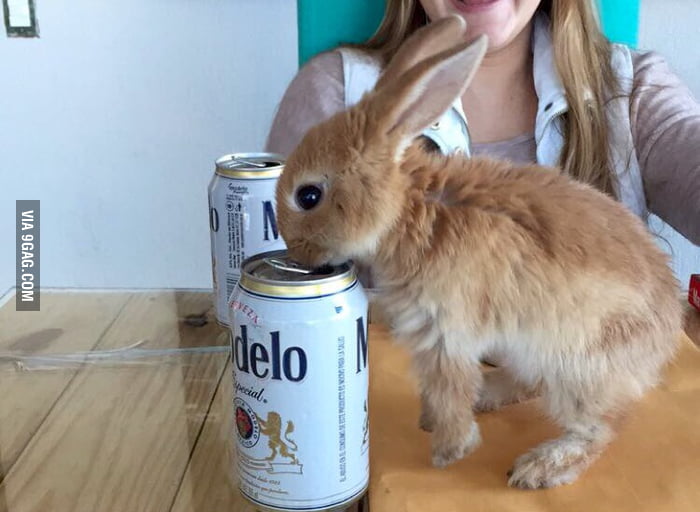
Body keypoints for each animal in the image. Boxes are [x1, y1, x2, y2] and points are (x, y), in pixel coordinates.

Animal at [274, 15, 682, 489]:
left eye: (308, 196)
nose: (297, 255)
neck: (410, 208)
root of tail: (665, 338)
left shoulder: (446, 331)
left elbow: (449, 388)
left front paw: (449, 451)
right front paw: (436, 426)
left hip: (579, 366)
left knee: (599, 429)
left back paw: (538, 467)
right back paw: (489, 397)